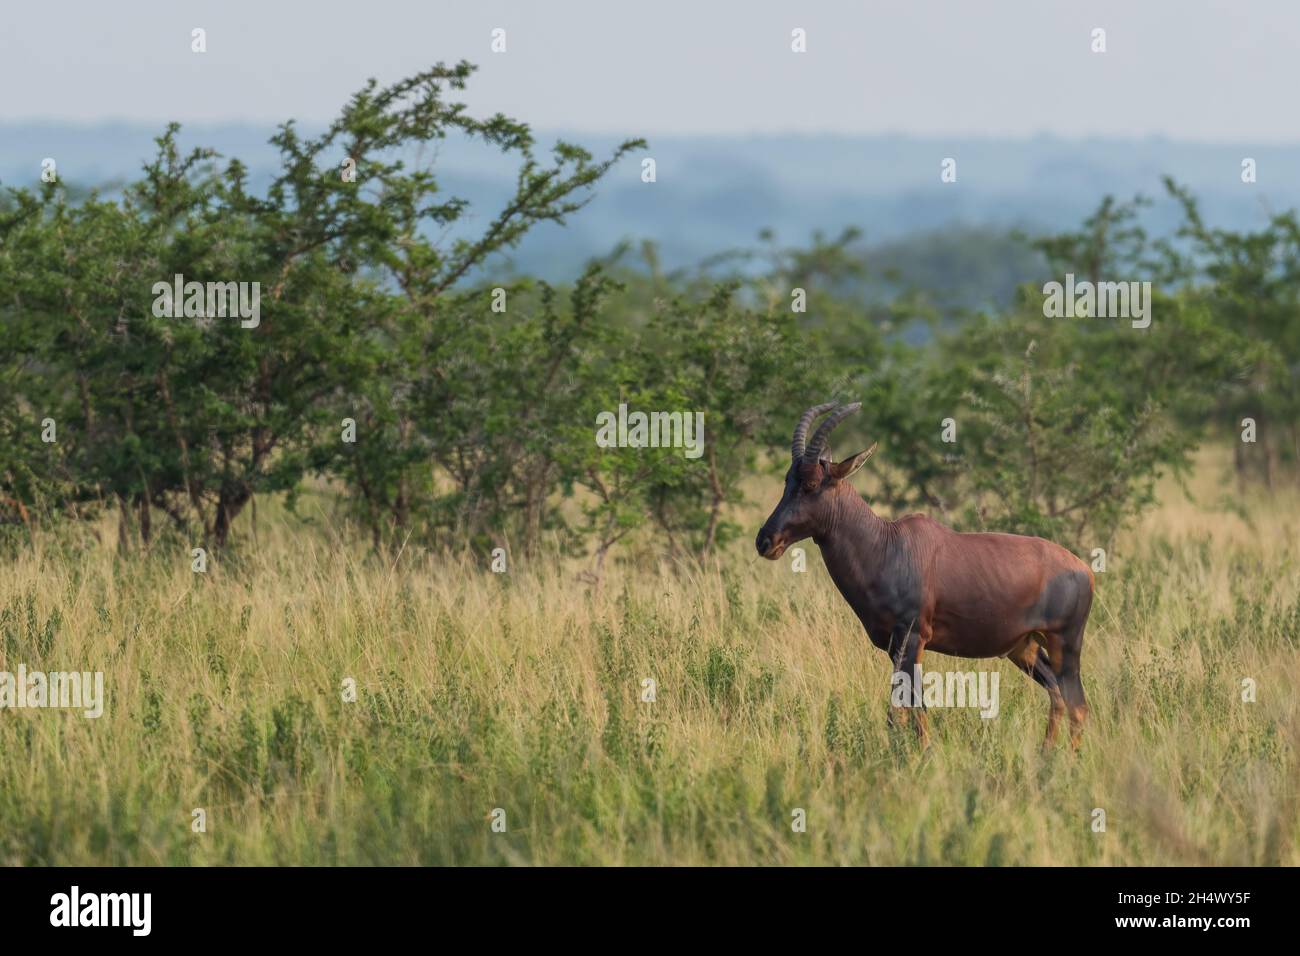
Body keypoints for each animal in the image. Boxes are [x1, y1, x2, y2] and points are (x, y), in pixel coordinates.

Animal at [756, 401, 1093, 748]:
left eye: (811, 484)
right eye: (787, 479)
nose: (765, 540)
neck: (886, 544)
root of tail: (1083, 569)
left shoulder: (913, 638)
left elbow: (908, 710)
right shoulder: (893, 647)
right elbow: (909, 710)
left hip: (1065, 643)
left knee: (1078, 705)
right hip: (1023, 647)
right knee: (1057, 693)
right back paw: (1046, 754)